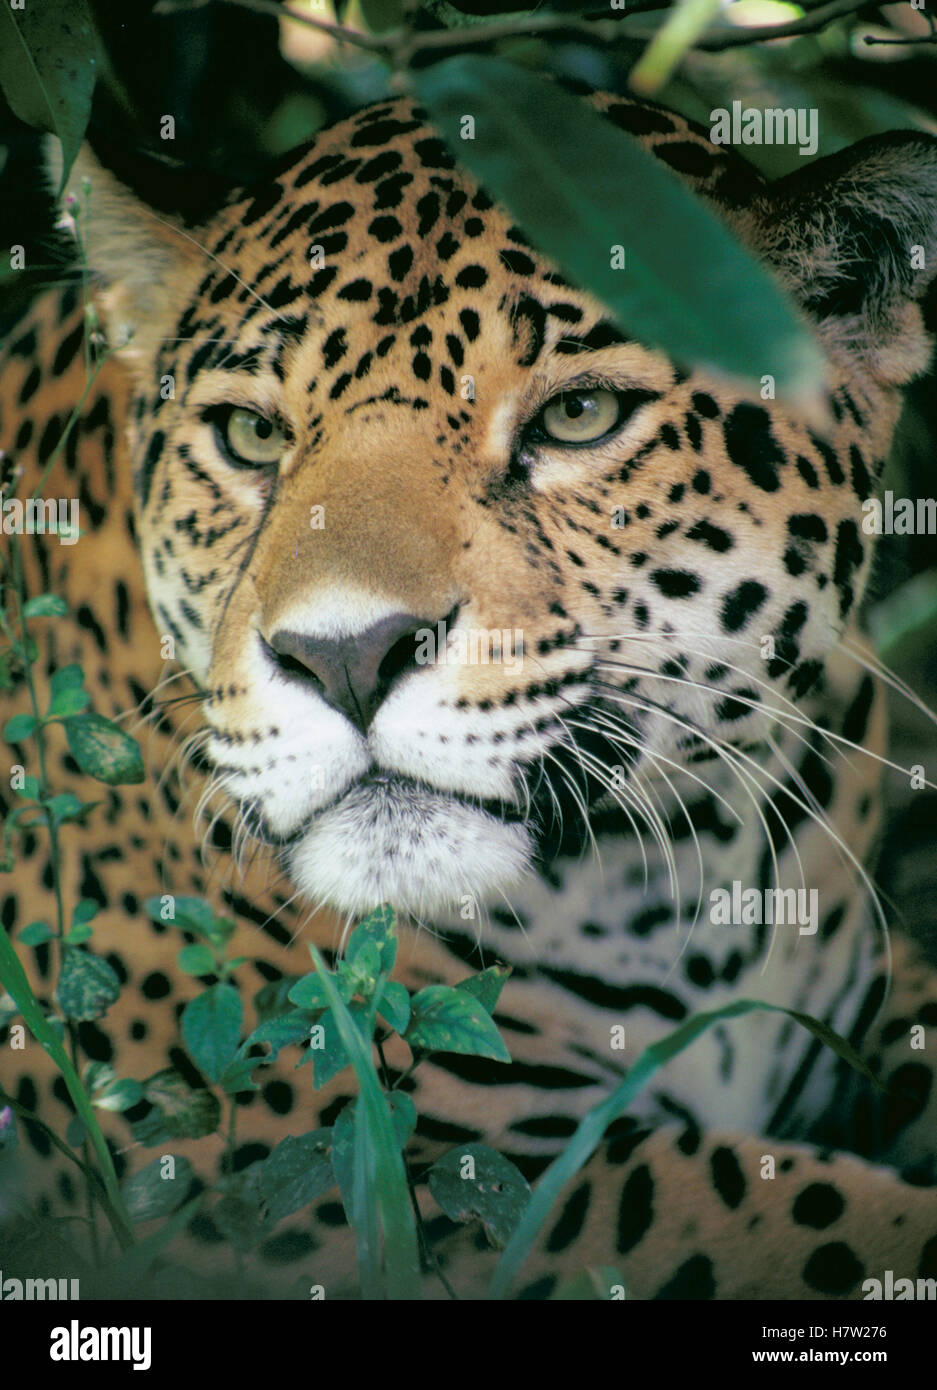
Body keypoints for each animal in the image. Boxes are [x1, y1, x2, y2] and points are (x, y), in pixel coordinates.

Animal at [2, 86, 937, 1301]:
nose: (345, 655)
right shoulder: (393, 1179)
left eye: (580, 416)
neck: (679, 886)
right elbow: (819, 1223)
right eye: (252, 434)